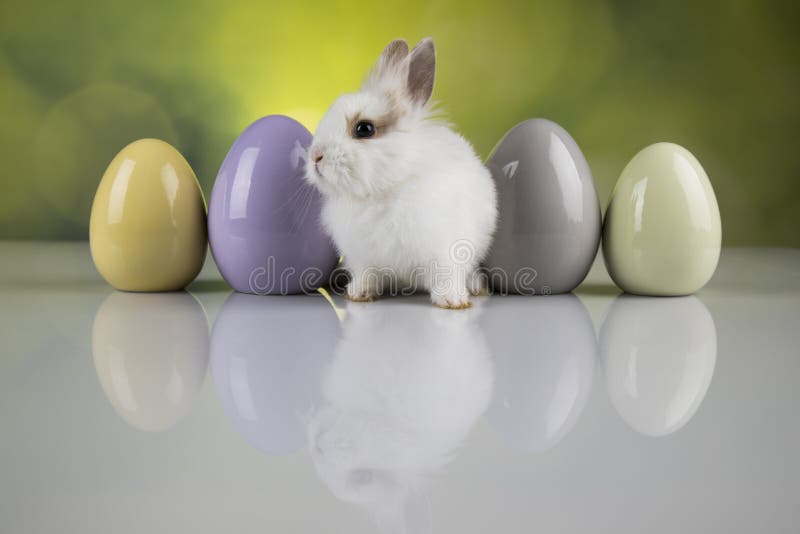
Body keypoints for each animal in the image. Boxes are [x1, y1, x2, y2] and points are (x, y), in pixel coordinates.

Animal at [305, 37, 498, 309]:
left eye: (364, 129)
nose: (315, 157)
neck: (384, 188)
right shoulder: (363, 257)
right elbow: (366, 275)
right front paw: (359, 294)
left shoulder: (446, 249)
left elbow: (446, 274)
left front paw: (452, 301)